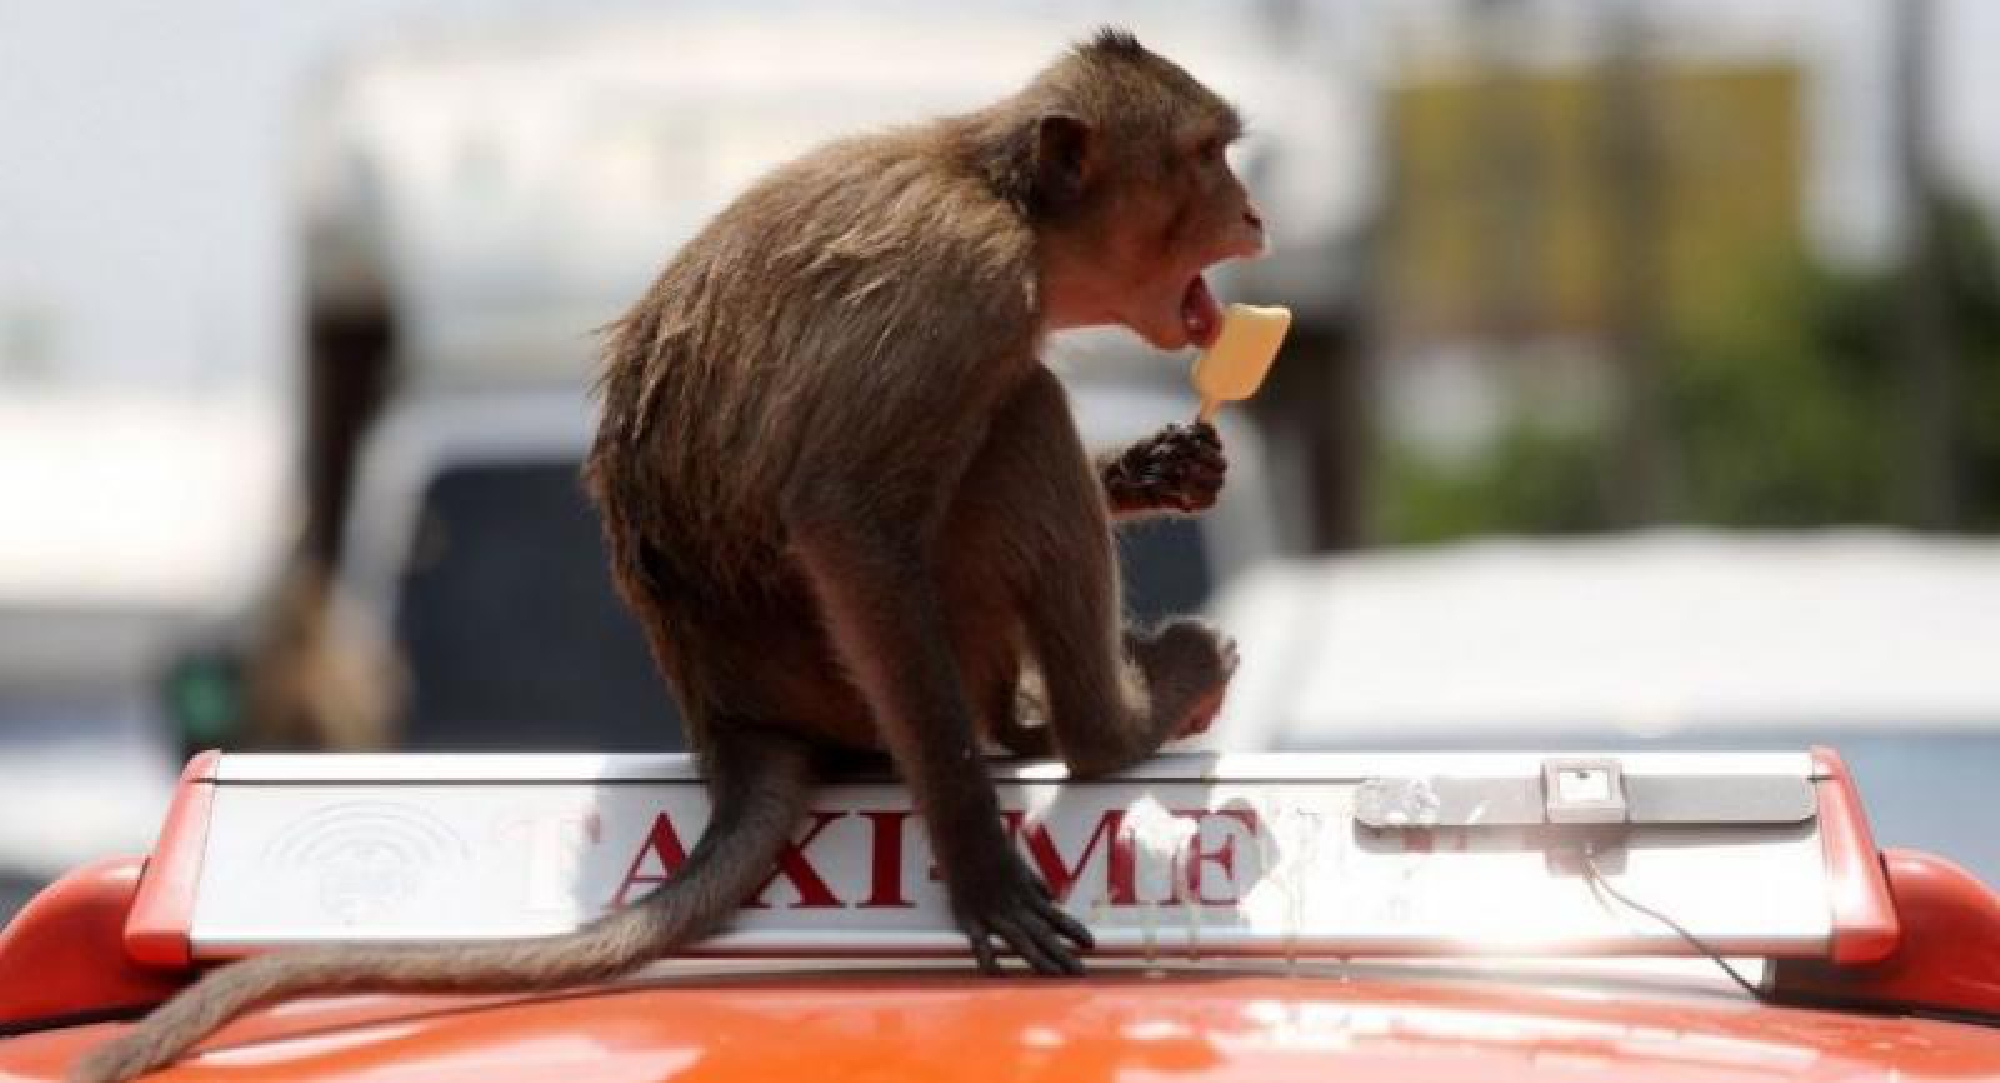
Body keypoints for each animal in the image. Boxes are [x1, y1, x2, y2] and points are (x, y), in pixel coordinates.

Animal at [73, 28, 1265, 1083]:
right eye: (1206, 156)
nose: (1251, 212)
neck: (999, 193)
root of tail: (729, 721)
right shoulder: (969, 289)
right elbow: (845, 515)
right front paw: (978, 861)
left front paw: (1158, 469)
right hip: (860, 674)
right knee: (1018, 414)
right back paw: (1105, 727)